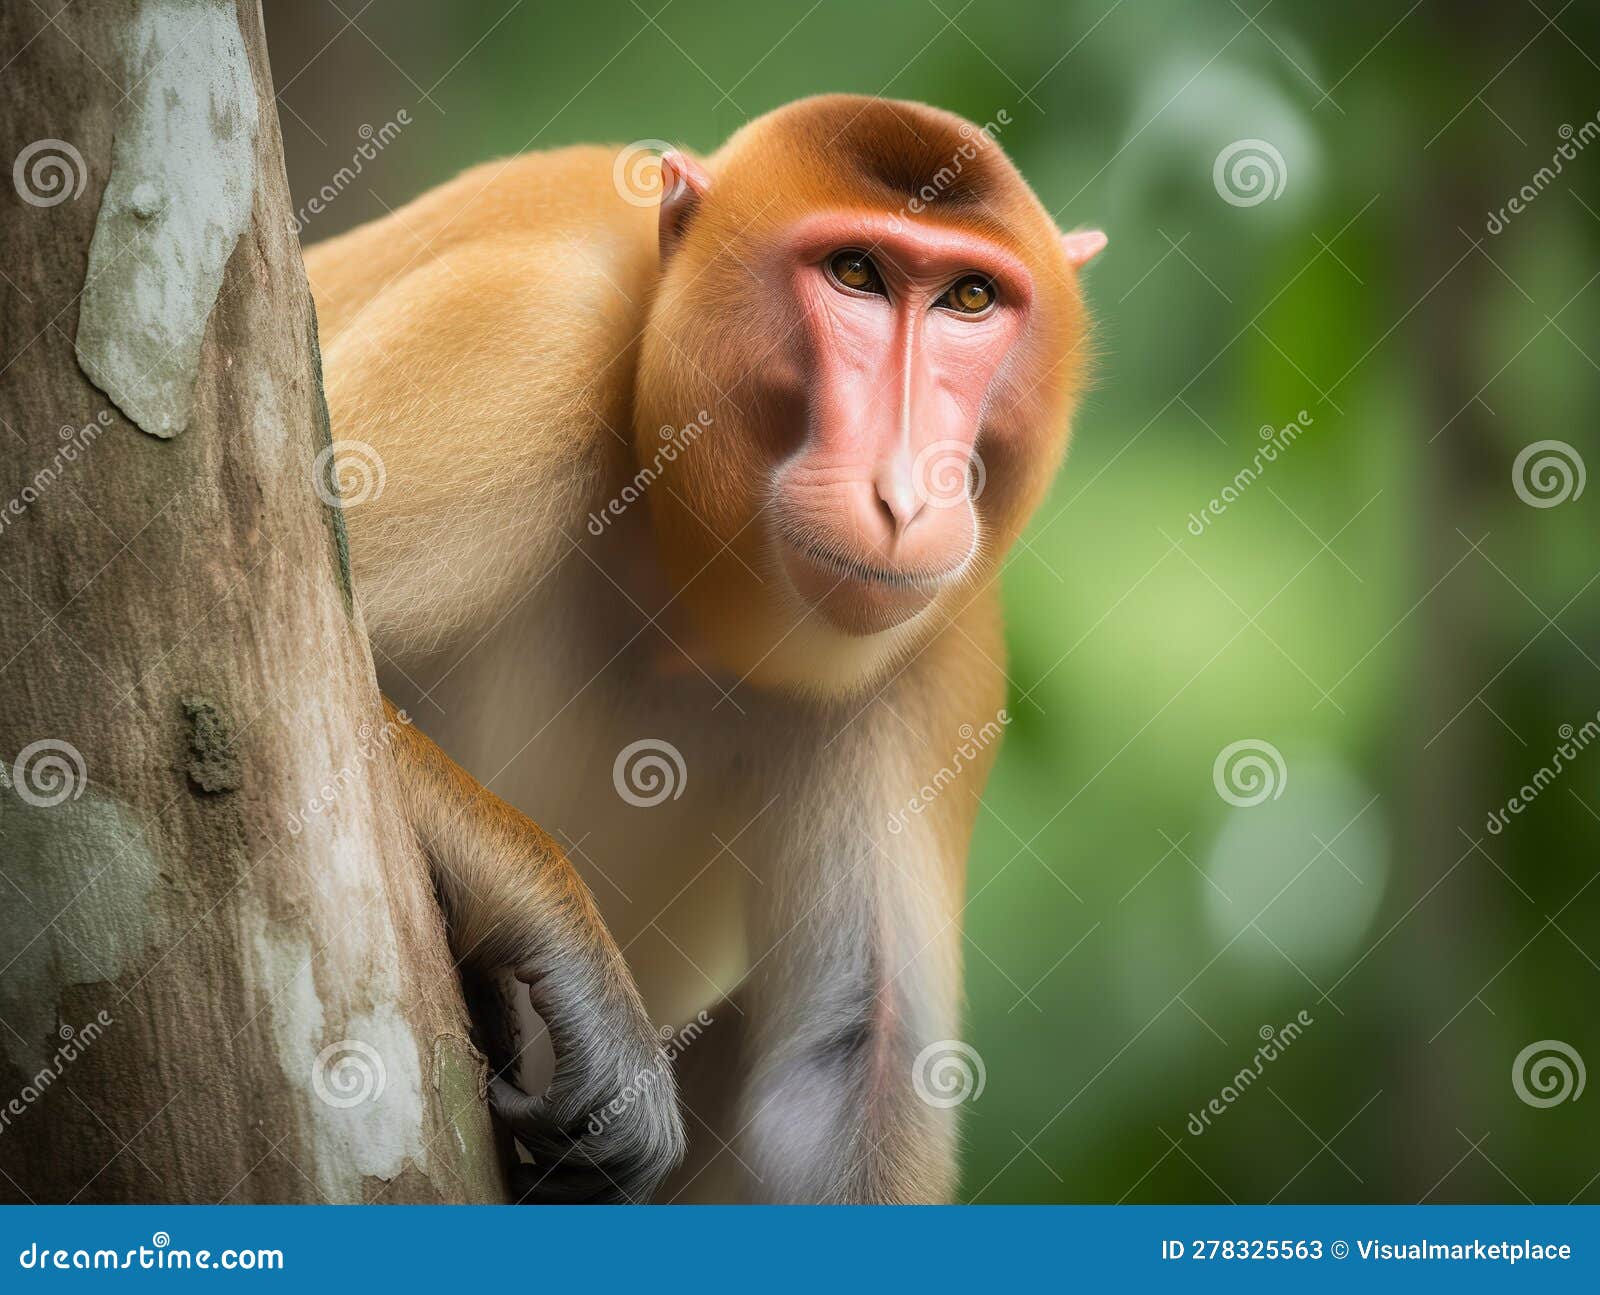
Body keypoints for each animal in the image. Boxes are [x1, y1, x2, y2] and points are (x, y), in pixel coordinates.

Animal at [304, 94, 1103, 1204]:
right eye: (855, 272)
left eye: (971, 297)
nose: (904, 493)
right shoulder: (519, 343)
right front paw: (559, 938)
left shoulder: (938, 641)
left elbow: (847, 1065)